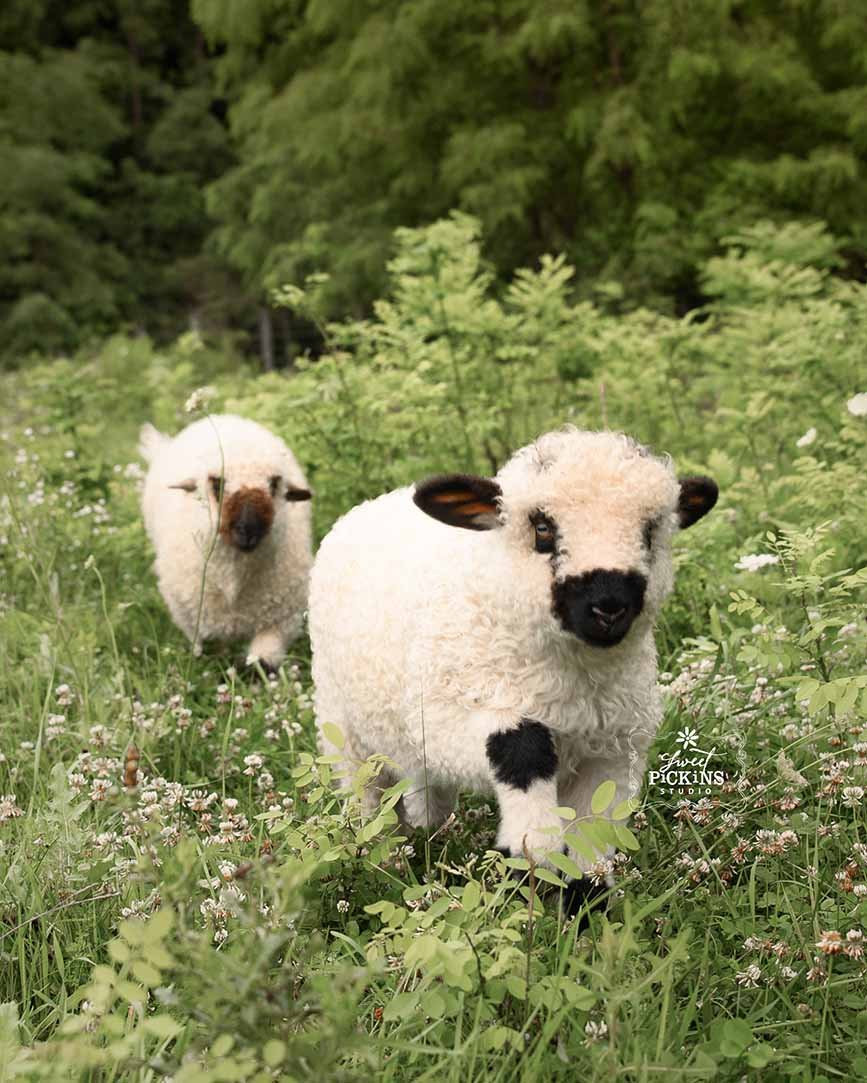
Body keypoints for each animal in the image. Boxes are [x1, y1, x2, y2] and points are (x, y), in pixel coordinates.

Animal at [140, 413, 313, 671]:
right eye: (216, 483)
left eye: (274, 484)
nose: (249, 531)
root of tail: (225, 418)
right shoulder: (194, 620)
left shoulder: (281, 620)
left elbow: (261, 664)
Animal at [309, 427, 717, 907]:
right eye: (542, 528)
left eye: (650, 531)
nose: (609, 606)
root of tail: (377, 501)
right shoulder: (451, 714)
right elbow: (522, 749)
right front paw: (528, 857)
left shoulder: (618, 746)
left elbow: (591, 840)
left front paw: (585, 908)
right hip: (342, 725)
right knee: (366, 799)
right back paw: (377, 859)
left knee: (423, 788)